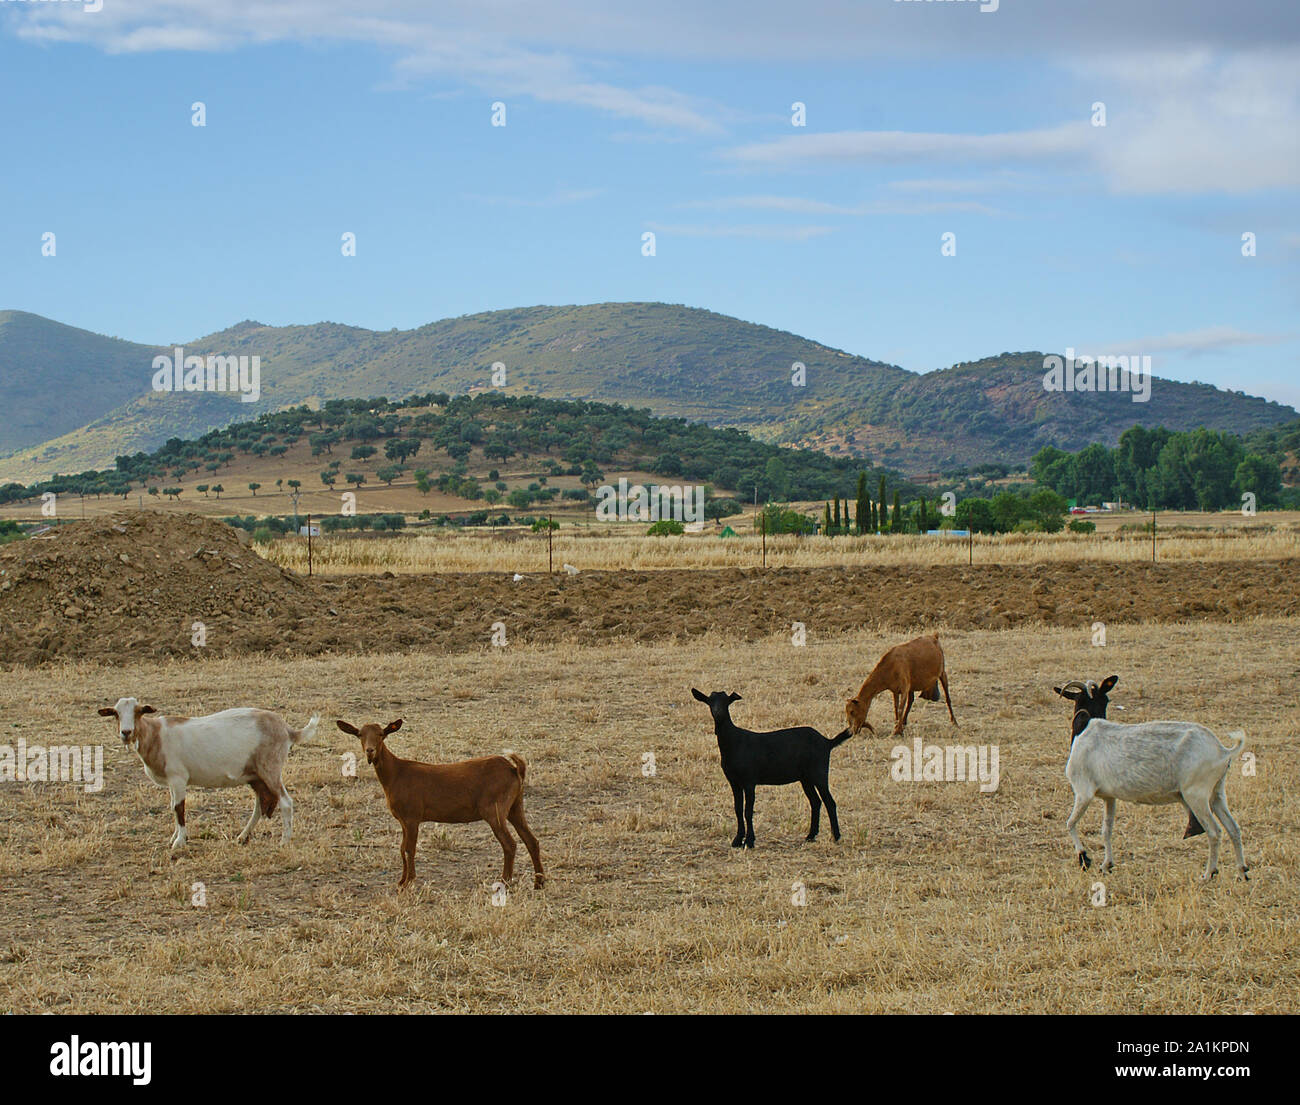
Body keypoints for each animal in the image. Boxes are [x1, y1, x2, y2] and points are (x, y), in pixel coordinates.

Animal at [98, 697, 318, 849]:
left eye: (138, 711)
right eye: (116, 714)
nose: (126, 733)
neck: (156, 735)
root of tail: (288, 730)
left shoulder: (178, 778)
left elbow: (179, 808)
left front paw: (179, 842)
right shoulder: (171, 782)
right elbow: (172, 807)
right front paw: (174, 837)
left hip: (271, 768)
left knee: (285, 802)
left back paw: (284, 841)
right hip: (255, 775)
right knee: (261, 804)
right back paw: (243, 837)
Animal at [336, 719, 544, 889]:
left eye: (381, 734)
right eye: (360, 735)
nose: (370, 751)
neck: (396, 774)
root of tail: (515, 768)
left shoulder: (412, 817)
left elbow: (410, 848)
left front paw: (409, 882)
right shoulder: (403, 820)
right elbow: (402, 848)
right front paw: (401, 881)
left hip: (494, 809)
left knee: (510, 844)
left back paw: (504, 882)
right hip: (515, 806)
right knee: (531, 840)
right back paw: (539, 883)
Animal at [691, 688, 851, 849]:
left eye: (726, 702)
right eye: (710, 701)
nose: (718, 712)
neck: (734, 743)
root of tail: (827, 742)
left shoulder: (749, 780)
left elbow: (748, 811)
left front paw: (749, 841)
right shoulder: (734, 781)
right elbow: (738, 809)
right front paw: (737, 840)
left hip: (819, 772)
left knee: (830, 802)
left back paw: (836, 836)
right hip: (805, 778)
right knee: (816, 801)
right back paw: (810, 836)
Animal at [1053, 676, 1248, 880]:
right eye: (1105, 700)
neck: (1084, 730)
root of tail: (1222, 751)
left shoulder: (1083, 792)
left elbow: (1070, 823)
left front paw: (1084, 859)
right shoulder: (1109, 797)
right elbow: (1106, 830)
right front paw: (1106, 865)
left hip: (1196, 796)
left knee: (1214, 832)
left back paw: (1208, 874)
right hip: (1216, 793)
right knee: (1233, 828)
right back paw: (1242, 872)